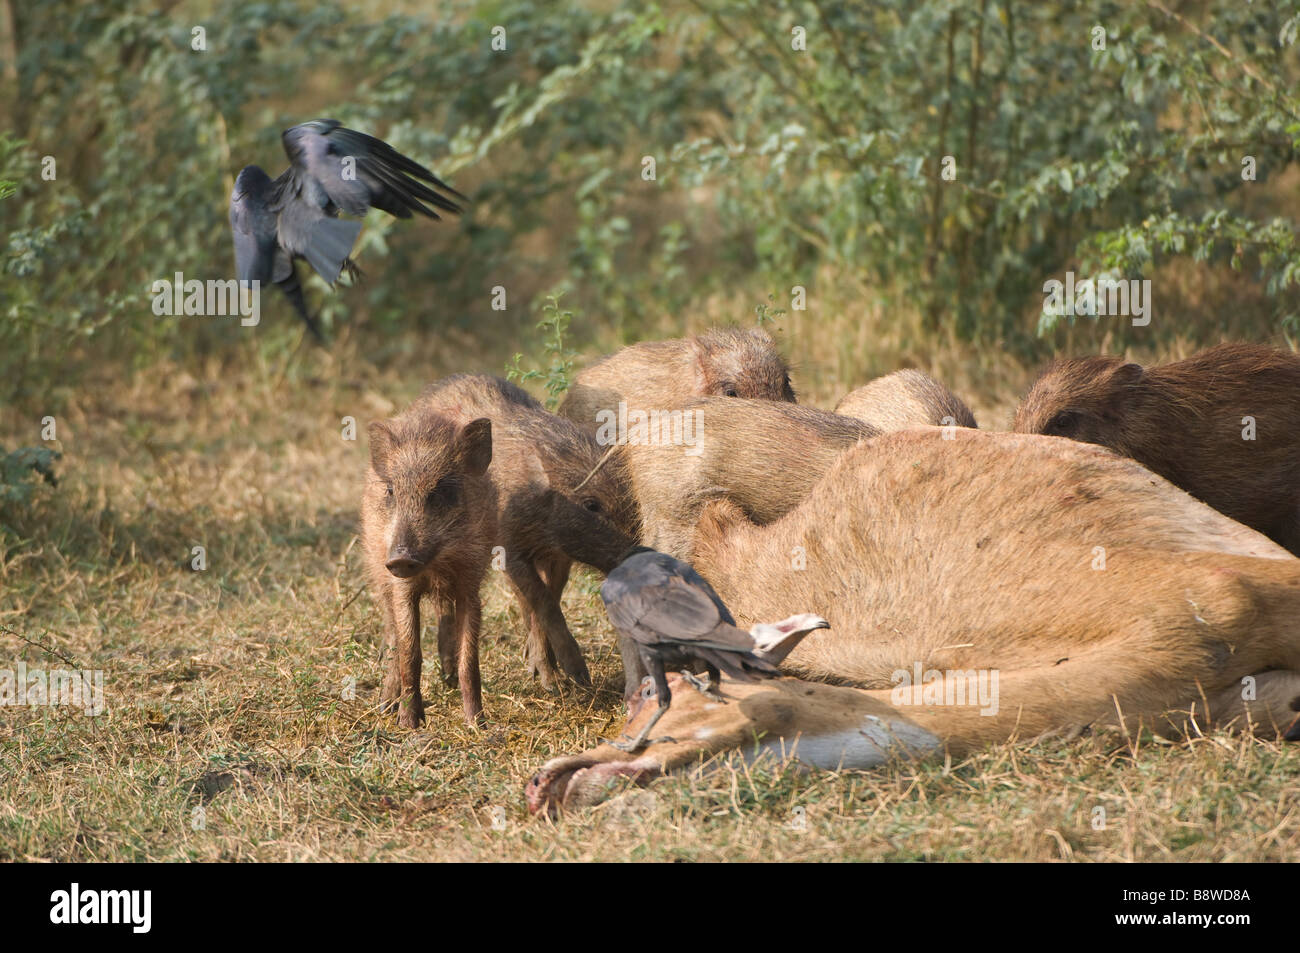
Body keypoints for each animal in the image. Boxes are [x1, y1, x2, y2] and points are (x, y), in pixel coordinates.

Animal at [361, 405, 495, 728]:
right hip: (380, 578)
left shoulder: (470, 586)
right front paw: (408, 724)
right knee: (393, 639)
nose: (400, 557)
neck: (437, 565)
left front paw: (477, 724)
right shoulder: (401, 587)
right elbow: (410, 652)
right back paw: (384, 706)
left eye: (440, 491)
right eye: (391, 491)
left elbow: (469, 659)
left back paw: (447, 680)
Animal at [419, 375, 641, 690]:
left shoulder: (559, 556)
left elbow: (549, 596)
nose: (643, 552)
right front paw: (571, 679)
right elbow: (542, 600)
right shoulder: (508, 549)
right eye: (591, 505)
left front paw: (552, 677)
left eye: (632, 498)